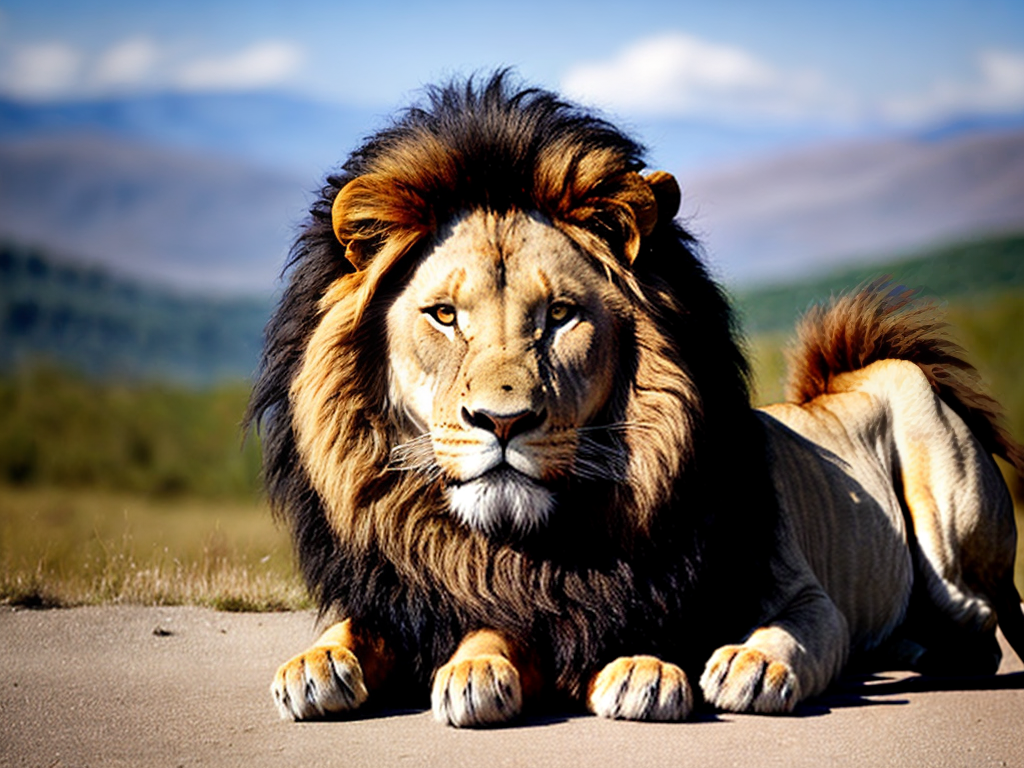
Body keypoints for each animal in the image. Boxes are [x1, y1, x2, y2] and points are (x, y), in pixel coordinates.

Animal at [247, 73, 1024, 726]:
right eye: (444, 316)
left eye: (560, 315)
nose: (503, 422)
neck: (534, 534)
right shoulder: (447, 595)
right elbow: (417, 625)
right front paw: (330, 661)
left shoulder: (800, 592)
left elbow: (787, 631)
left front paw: (719, 664)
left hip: (945, 515)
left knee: (984, 626)